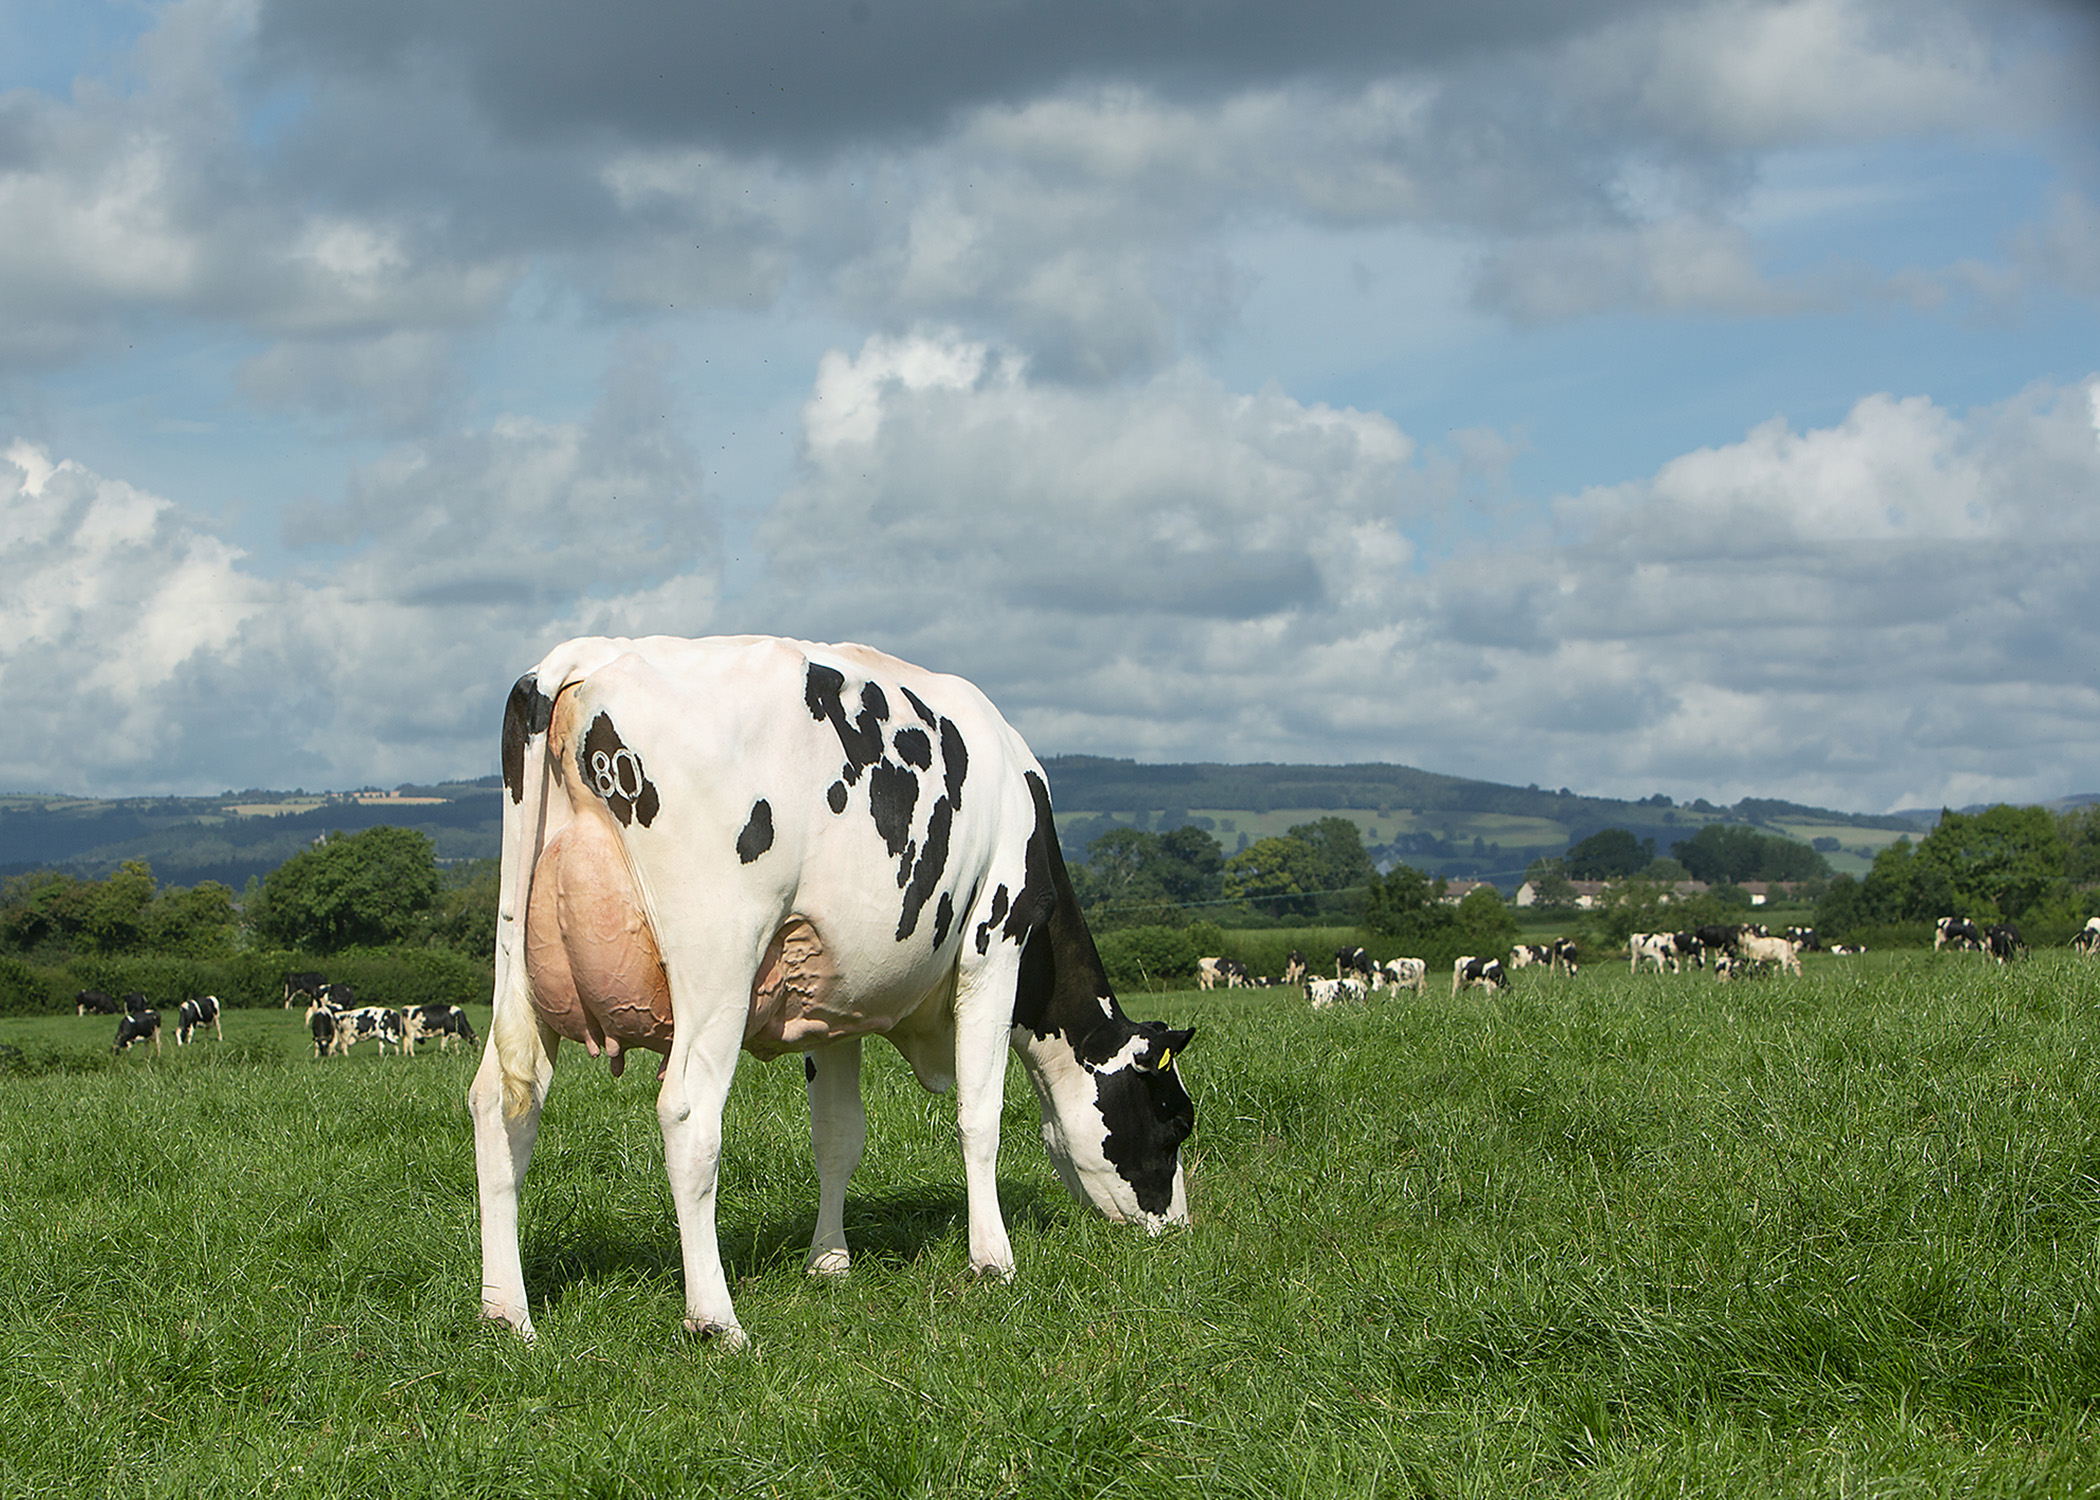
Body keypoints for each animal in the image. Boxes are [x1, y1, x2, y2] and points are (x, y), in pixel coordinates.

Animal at [471, 636, 1196, 1347]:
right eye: (1174, 1122)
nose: (1179, 1227)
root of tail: (585, 656)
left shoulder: (831, 1002)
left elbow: (838, 1136)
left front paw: (829, 1262)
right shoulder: (993, 949)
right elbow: (980, 1115)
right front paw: (993, 1259)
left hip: (516, 958)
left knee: (501, 1102)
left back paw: (508, 1313)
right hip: (717, 959)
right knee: (687, 1114)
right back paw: (715, 1317)